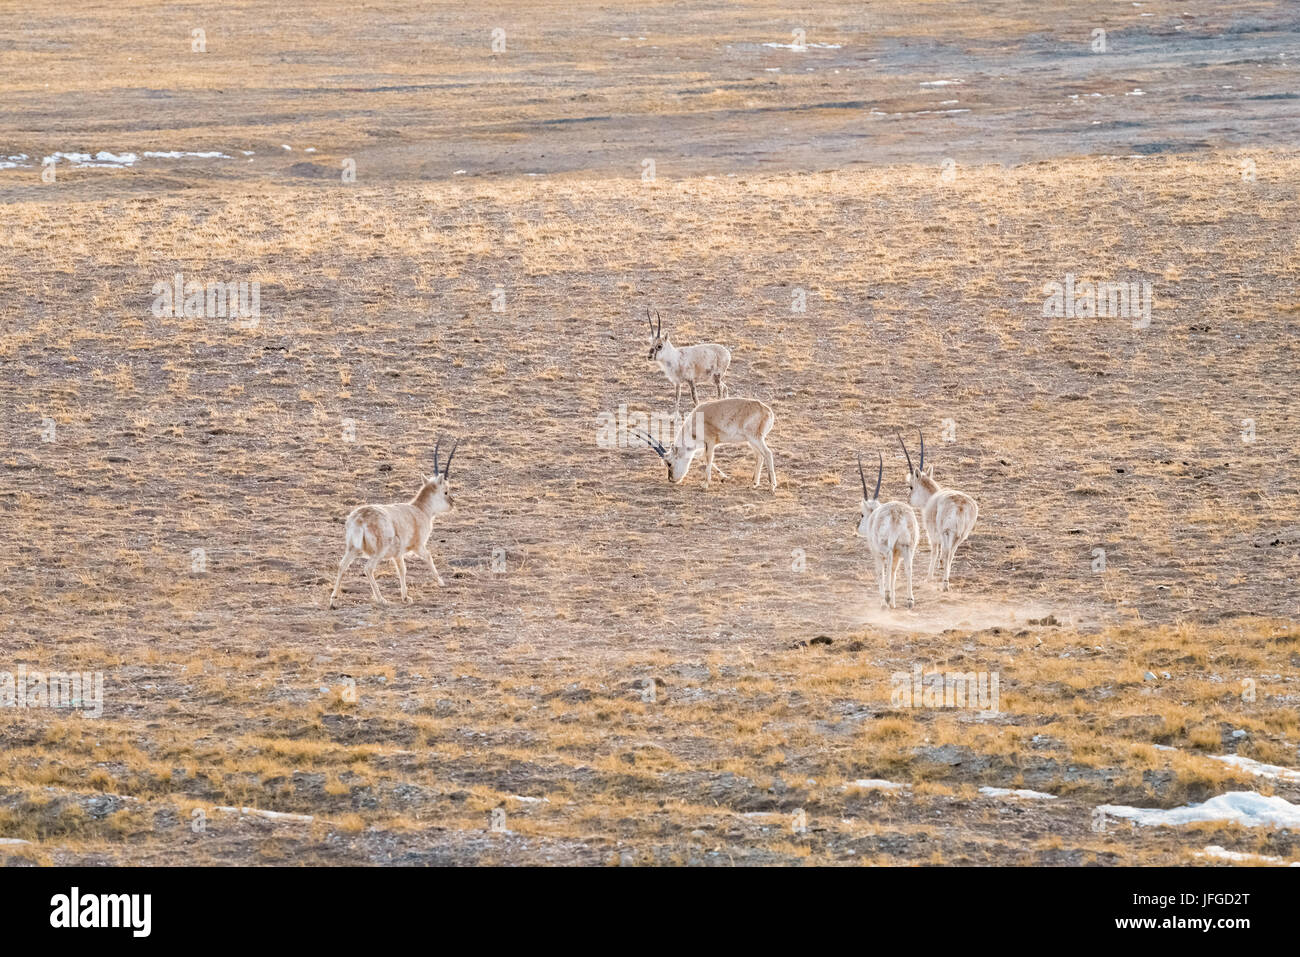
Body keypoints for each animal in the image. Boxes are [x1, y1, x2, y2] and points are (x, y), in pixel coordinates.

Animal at [329, 439, 459, 607]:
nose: (452, 503)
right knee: (368, 568)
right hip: (378, 551)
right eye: (446, 491)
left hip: (353, 549)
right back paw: (381, 599)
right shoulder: (417, 546)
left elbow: (402, 570)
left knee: (342, 565)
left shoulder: (397, 554)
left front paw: (405, 596)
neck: (420, 509)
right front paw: (439, 583)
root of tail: (359, 519)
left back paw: (333, 599)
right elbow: (425, 558)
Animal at [631, 397, 777, 491]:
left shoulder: (710, 442)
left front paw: (705, 484)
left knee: (768, 453)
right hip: (750, 441)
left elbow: (708, 458)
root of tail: (767, 411)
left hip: (754, 438)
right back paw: (754, 484)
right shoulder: (702, 446)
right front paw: (724, 478)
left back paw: (772, 486)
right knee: (759, 456)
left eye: (669, 463)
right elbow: (703, 458)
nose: (671, 480)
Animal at [855, 453, 920, 609]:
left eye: (862, 514)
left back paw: (888, 596)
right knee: (908, 567)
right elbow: (893, 573)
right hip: (907, 547)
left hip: (887, 547)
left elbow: (880, 572)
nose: (857, 526)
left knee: (888, 560)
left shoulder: (877, 554)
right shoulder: (898, 555)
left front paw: (885, 602)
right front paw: (893, 603)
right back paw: (909, 600)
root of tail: (897, 513)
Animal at [898, 431, 978, 592]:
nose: (908, 500)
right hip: (960, 535)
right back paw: (945, 581)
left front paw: (928, 577)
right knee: (951, 554)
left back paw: (944, 584)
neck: (932, 496)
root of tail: (961, 504)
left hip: (946, 531)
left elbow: (935, 550)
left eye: (911, 486)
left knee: (946, 553)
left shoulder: (932, 531)